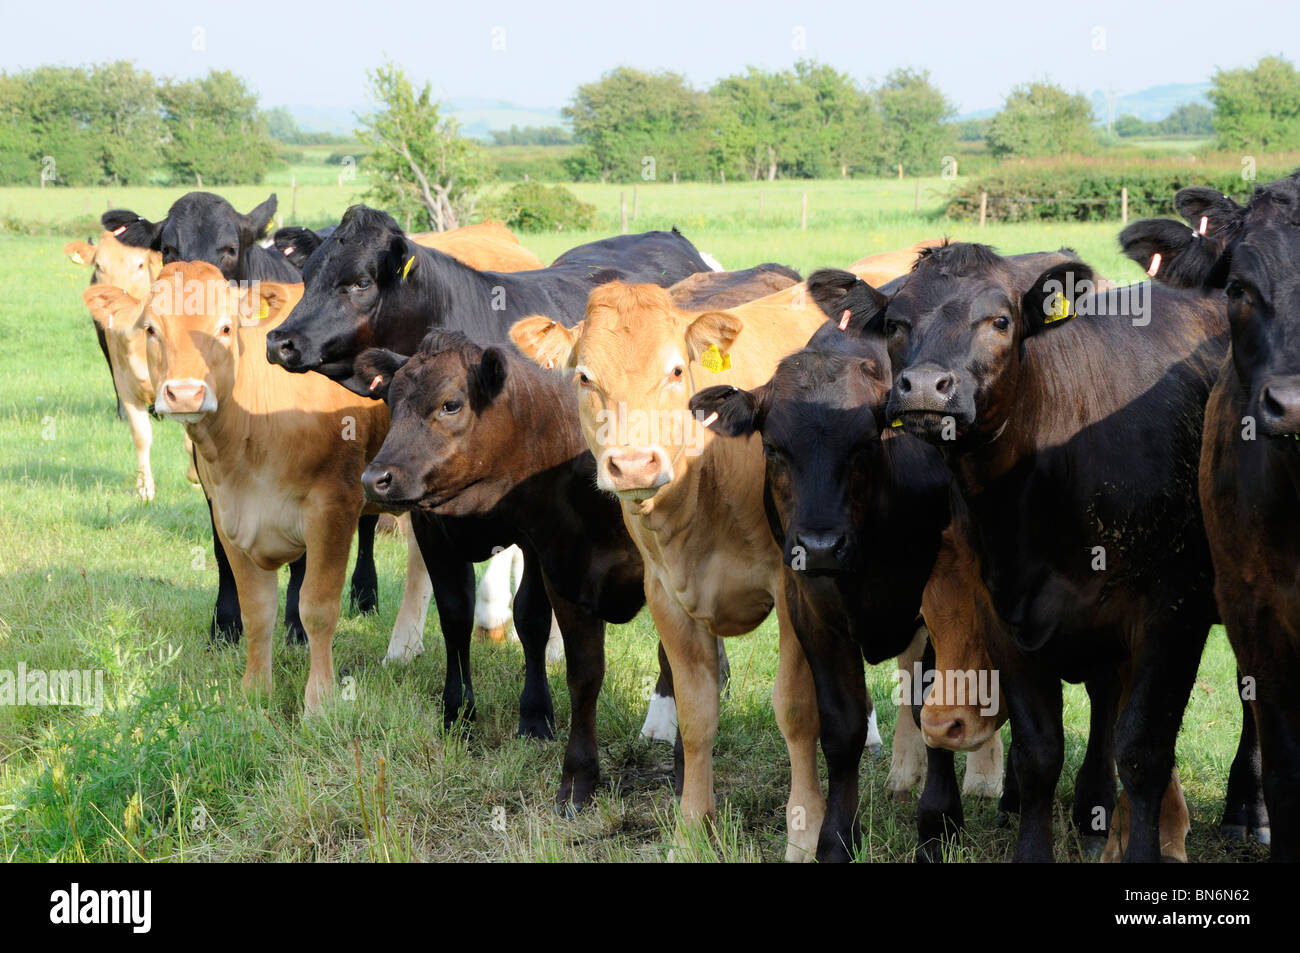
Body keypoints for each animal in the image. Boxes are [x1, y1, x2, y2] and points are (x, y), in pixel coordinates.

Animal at [84, 264, 388, 714]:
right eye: (151, 329)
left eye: (225, 329)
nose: (185, 393)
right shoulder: (229, 512)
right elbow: (256, 610)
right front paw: (255, 694)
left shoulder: (333, 507)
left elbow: (317, 607)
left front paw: (319, 703)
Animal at [507, 245, 932, 859]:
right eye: (584, 377)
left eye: (675, 370)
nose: (633, 464)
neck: (701, 480)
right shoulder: (665, 593)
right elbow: (696, 711)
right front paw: (692, 826)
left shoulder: (793, 584)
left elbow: (796, 710)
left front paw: (805, 828)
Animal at [880, 241, 1229, 862]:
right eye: (895, 324)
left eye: (1000, 321)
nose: (923, 387)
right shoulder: (1004, 612)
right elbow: (1039, 752)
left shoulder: (1171, 615)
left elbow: (1142, 753)